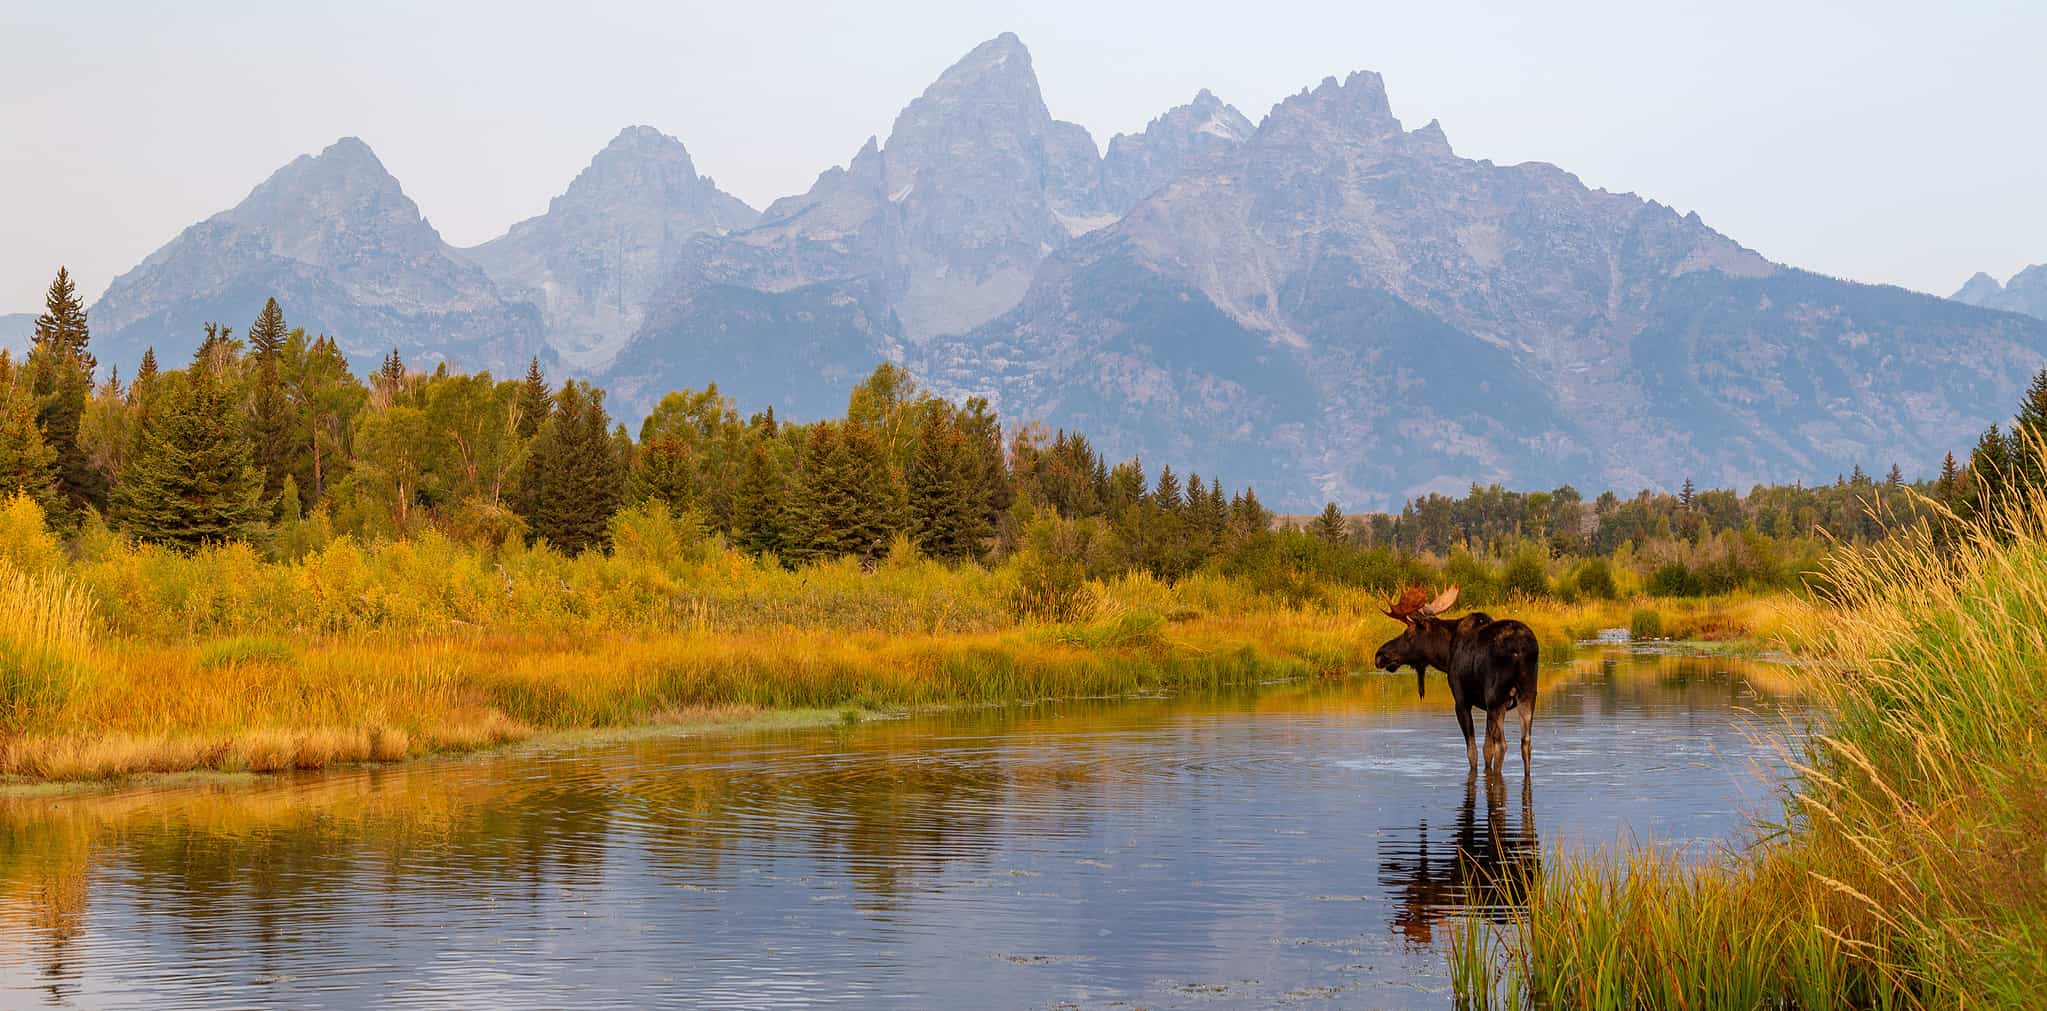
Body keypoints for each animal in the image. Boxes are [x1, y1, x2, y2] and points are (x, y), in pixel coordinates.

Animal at [1373, 586, 1539, 773]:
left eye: (1408, 634)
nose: (1380, 655)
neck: (1445, 654)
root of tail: (1520, 648)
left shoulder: (1461, 701)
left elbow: (1472, 752)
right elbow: (1486, 749)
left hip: (1495, 697)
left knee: (1502, 745)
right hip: (1528, 694)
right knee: (1526, 743)